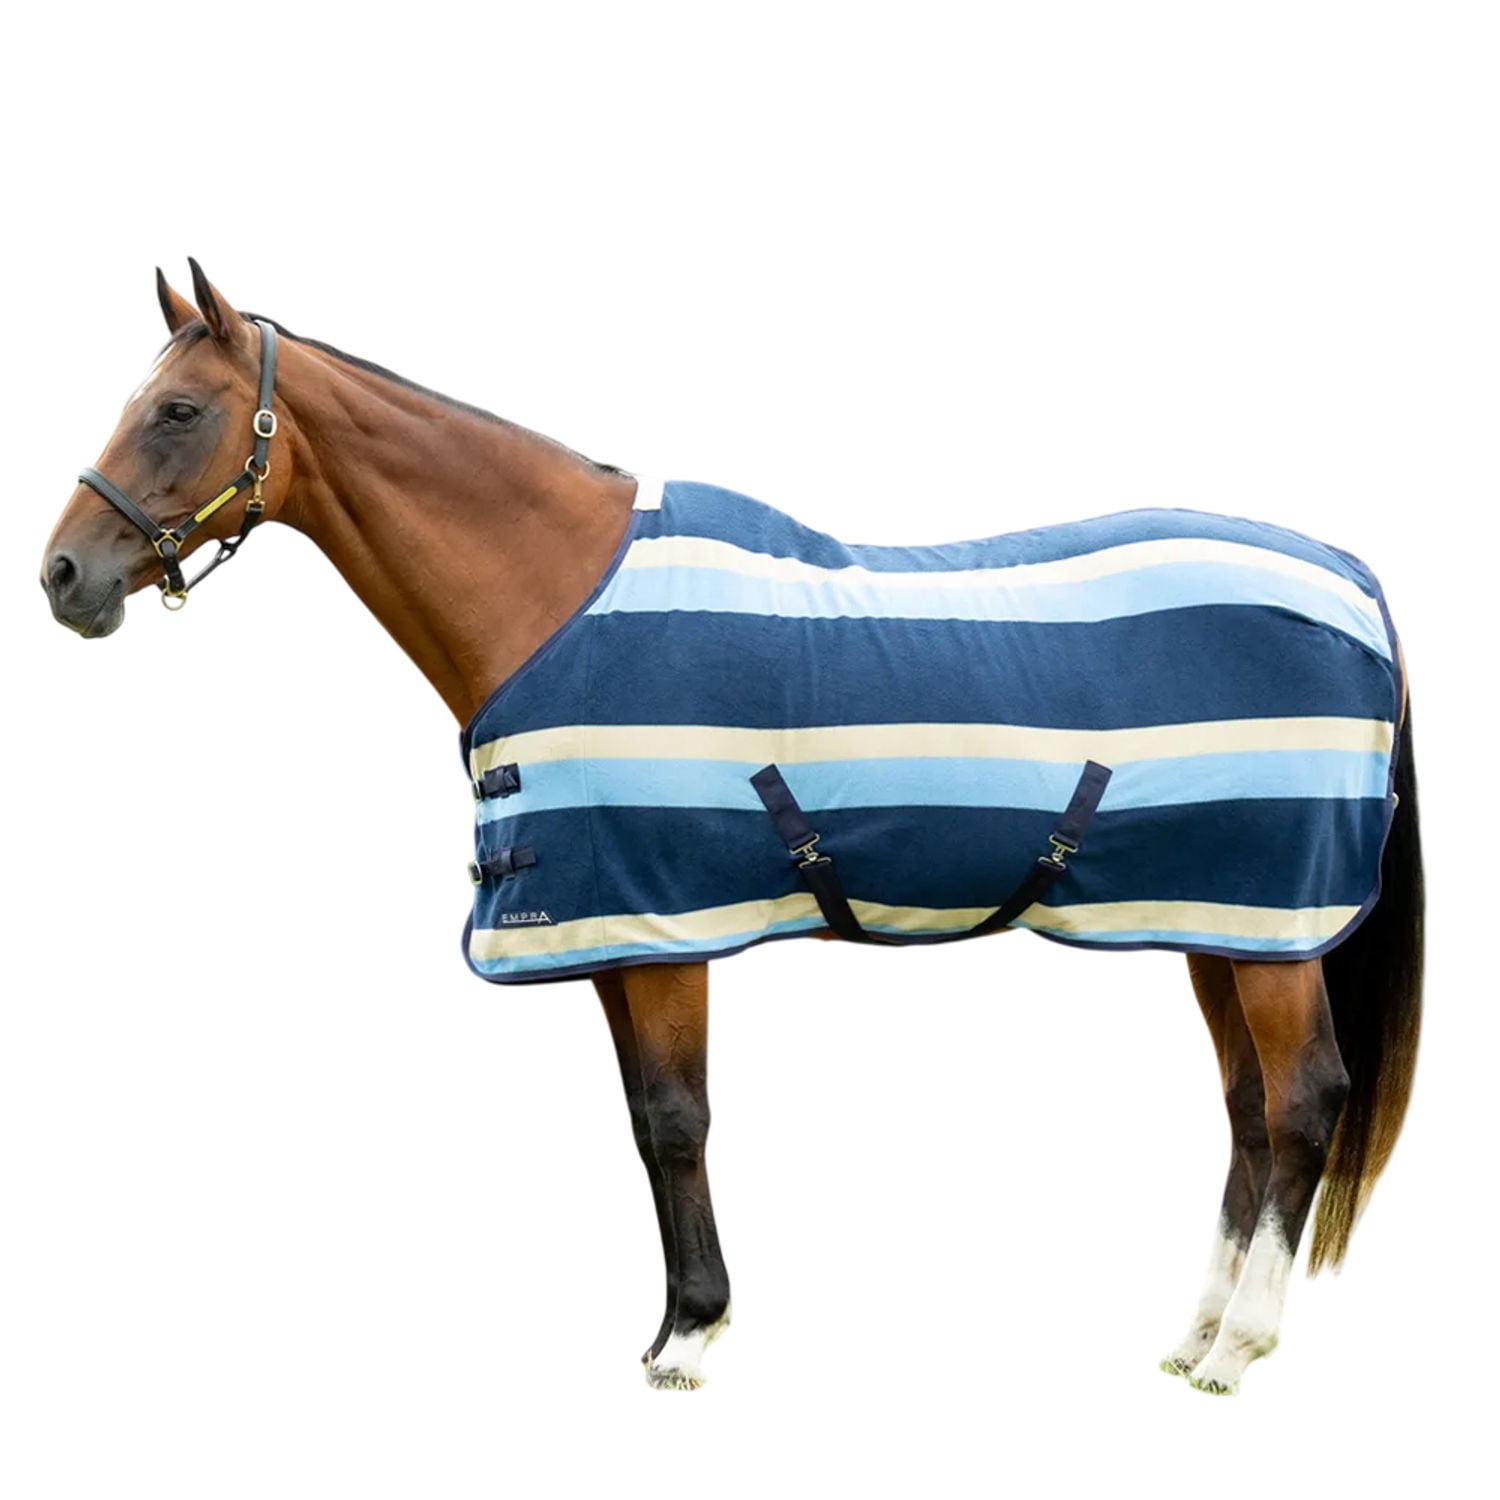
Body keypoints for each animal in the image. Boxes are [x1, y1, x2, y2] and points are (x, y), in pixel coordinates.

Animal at [40, 263, 1422, 1395]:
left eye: (177, 411)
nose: (62, 578)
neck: (556, 596)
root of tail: (1352, 577)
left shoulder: (667, 928)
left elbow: (677, 1119)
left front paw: (693, 1338)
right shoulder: (609, 928)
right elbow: (644, 1128)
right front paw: (670, 1323)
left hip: (1271, 927)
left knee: (1304, 1098)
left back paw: (1240, 1349)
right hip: (1222, 922)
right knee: (1249, 1107)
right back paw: (1195, 1333)